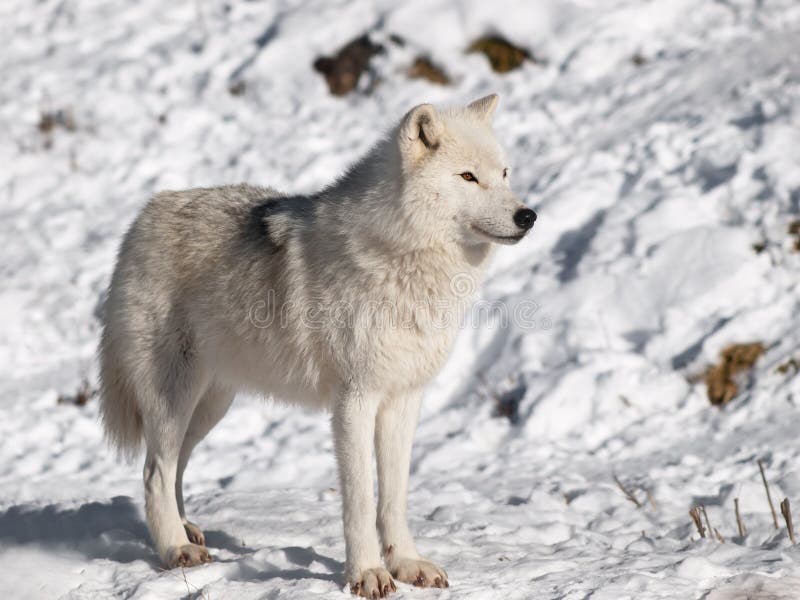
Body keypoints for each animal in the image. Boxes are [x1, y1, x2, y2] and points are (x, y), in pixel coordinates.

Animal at [99, 94, 535, 597]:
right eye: (467, 177)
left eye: (504, 173)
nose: (528, 215)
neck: (401, 257)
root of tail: (144, 216)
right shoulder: (354, 401)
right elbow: (361, 500)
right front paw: (367, 574)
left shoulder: (404, 399)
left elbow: (395, 496)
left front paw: (407, 564)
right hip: (175, 396)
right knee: (154, 472)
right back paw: (176, 549)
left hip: (211, 405)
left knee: (174, 466)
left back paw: (187, 530)